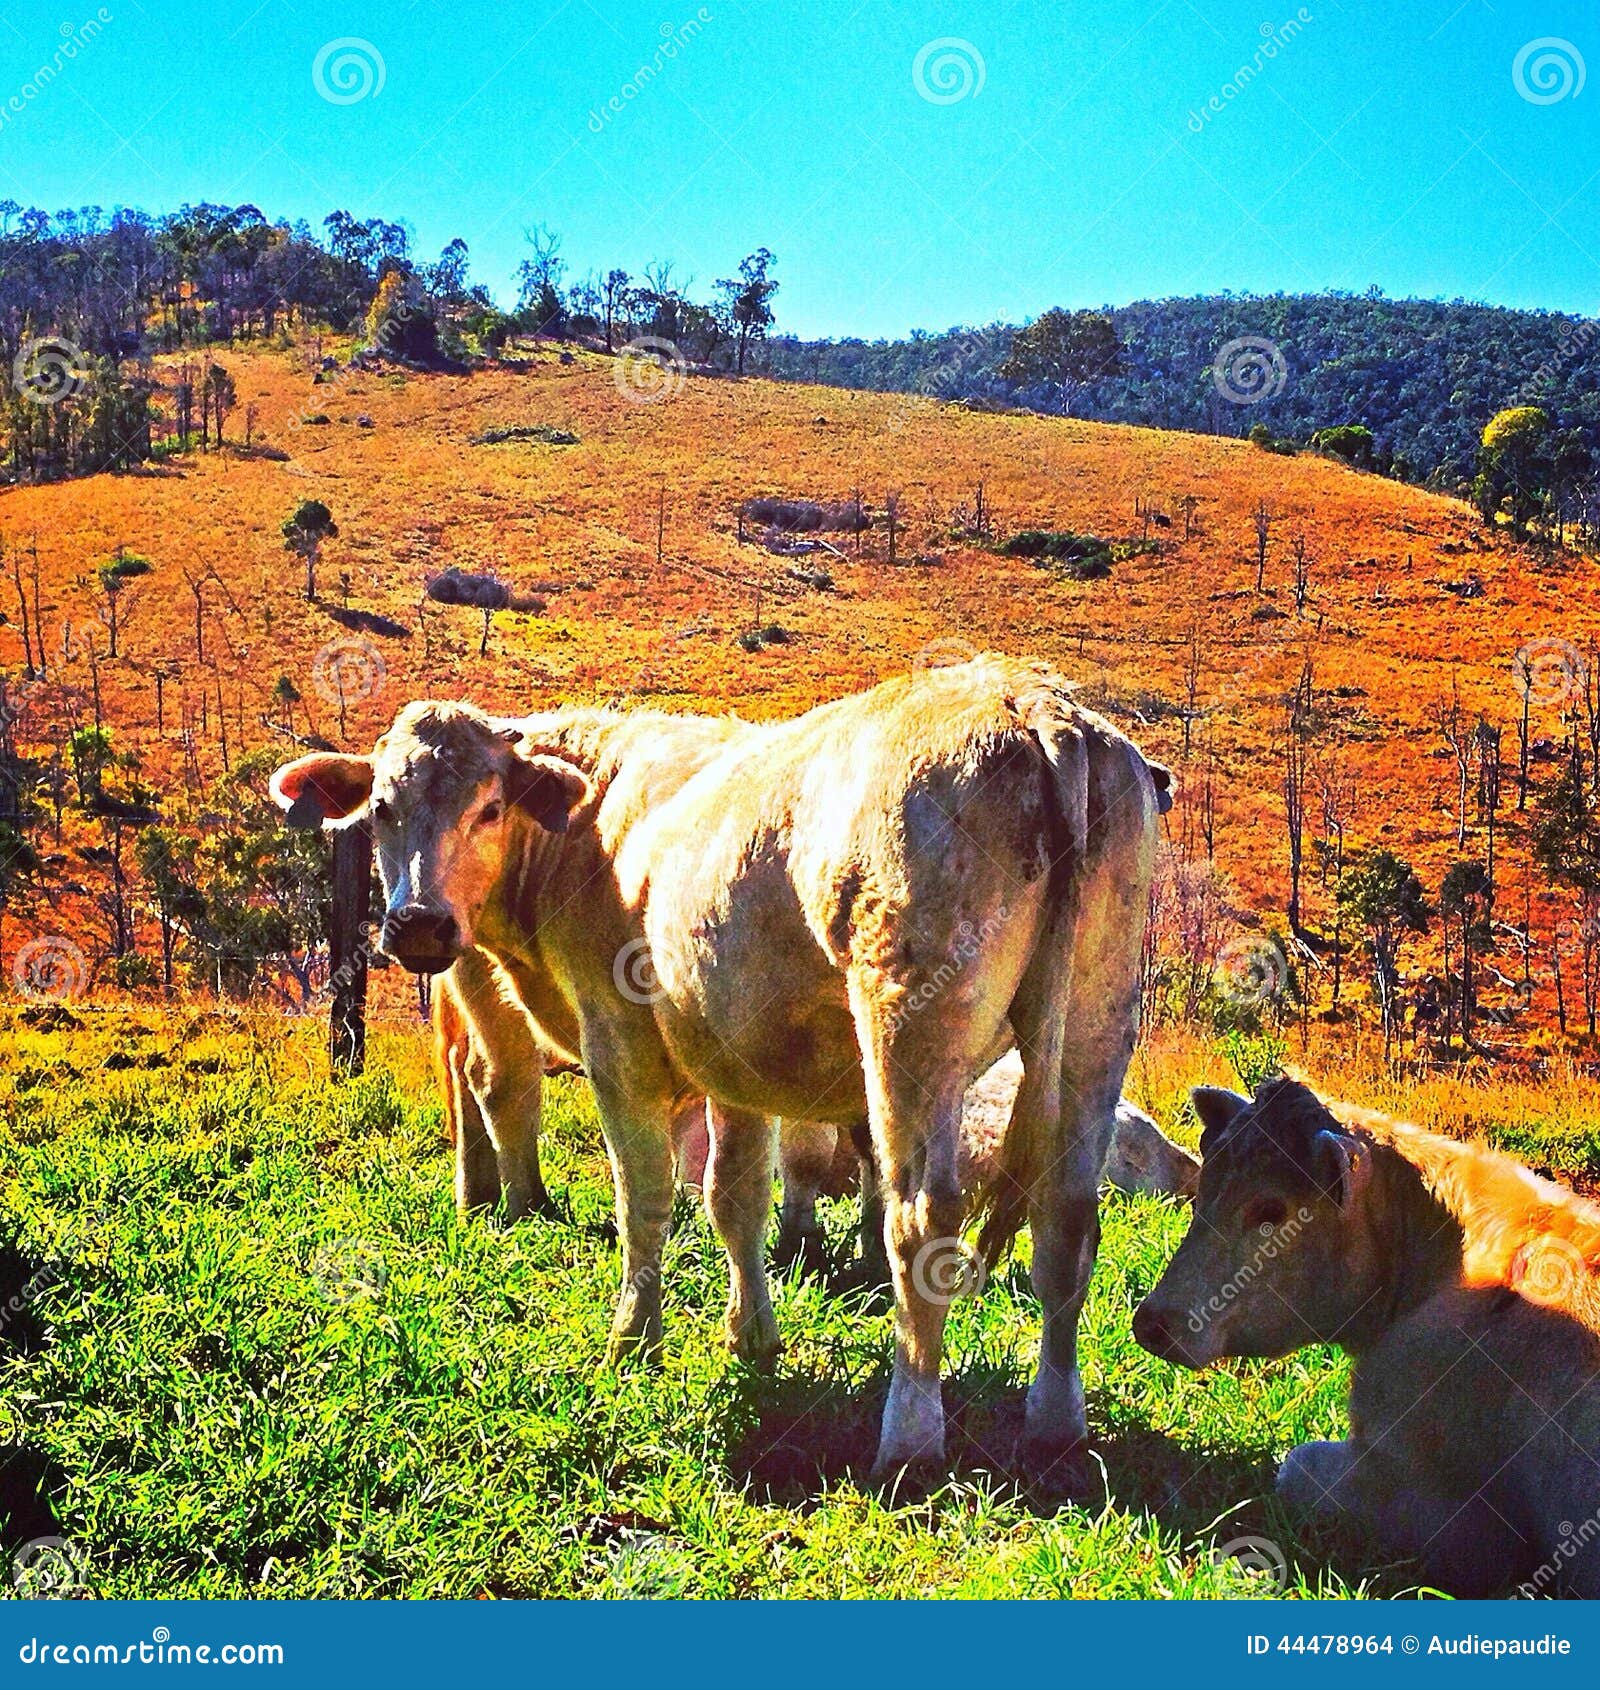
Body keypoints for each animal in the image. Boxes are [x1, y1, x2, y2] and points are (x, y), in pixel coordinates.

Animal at [271, 654, 1168, 1475]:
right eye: (382, 809)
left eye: (489, 806)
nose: (420, 923)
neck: (595, 827)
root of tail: (1029, 698)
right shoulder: (733, 1061)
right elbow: (735, 1199)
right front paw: (752, 1337)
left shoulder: (619, 1042)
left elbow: (646, 1198)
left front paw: (633, 1340)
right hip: (1097, 1016)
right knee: (1067, 1217)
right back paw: (1056, 1420)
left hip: (912, 1024)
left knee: (923, 1219)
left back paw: (910, 1435)